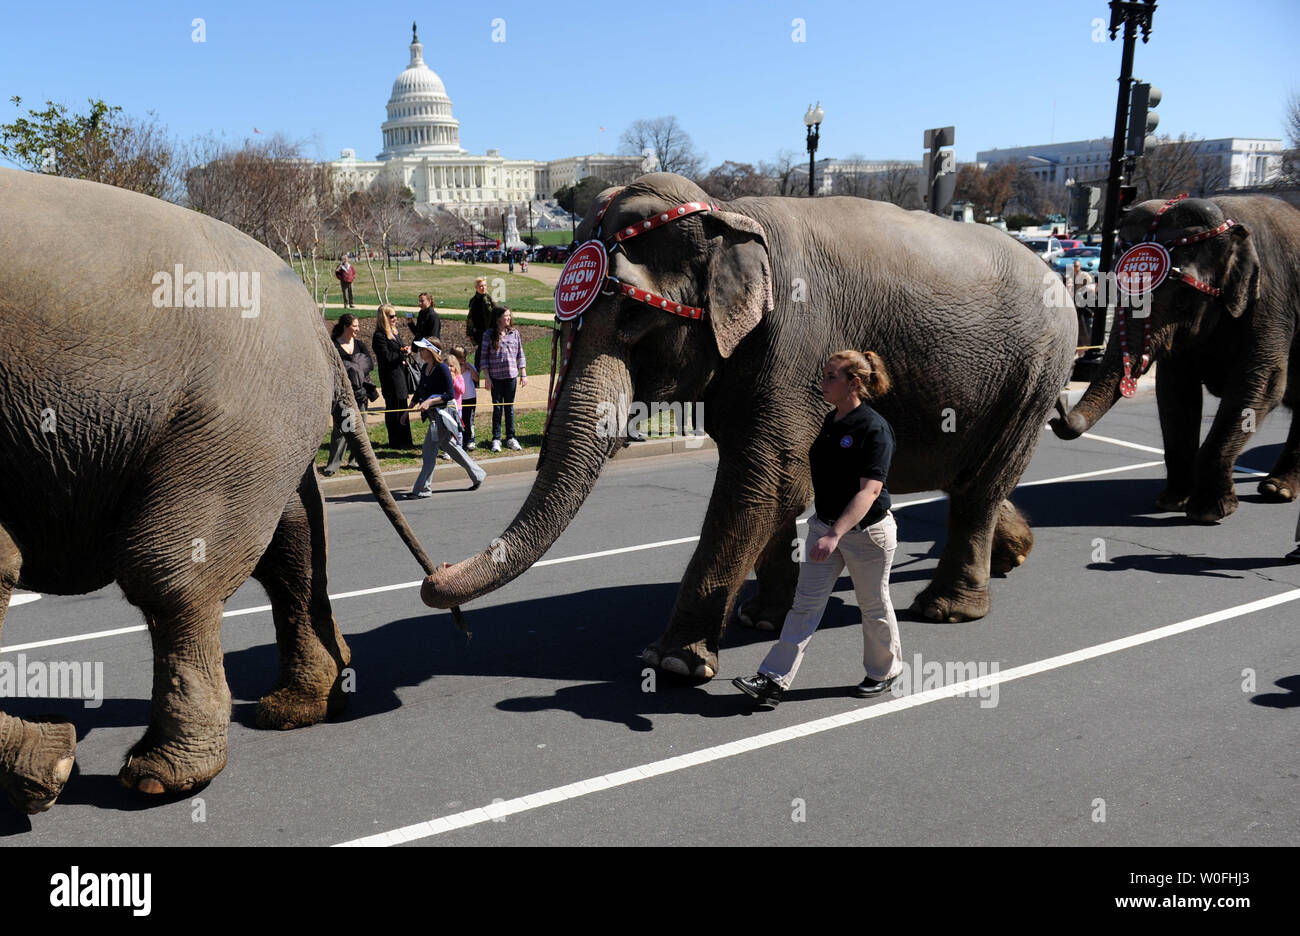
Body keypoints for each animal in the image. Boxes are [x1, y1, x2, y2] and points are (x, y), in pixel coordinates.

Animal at [0, 168, 436, 813]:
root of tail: (315, 323)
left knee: (168, 571)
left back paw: (159, 777)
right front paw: (50, 766)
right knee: (291, 542)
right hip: (261, 420)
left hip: (231, 414)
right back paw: (300, 707)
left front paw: (53, 767)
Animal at [418, 172, 1076, 678]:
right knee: (971, 479)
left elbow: (767, 477)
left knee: (982, 484)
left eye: (633, 314)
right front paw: (760, 618)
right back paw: (1013, 554)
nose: (435, 575)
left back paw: (947, 609)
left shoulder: (798, 342)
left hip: (1036, 374)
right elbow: (782, 478)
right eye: (564, 317)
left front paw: (673, 663)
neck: (727, 216)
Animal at [1051, 195, 1300, 522]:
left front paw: (1208, 513)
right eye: (1113, 288)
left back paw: (1277, 490)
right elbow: (1175, 392)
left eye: (1182, 297)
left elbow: (1260, 384)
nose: (1058, 411)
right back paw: (1276, 489)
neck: (1229, 220)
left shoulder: (1272, 301)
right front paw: (1171, 503)